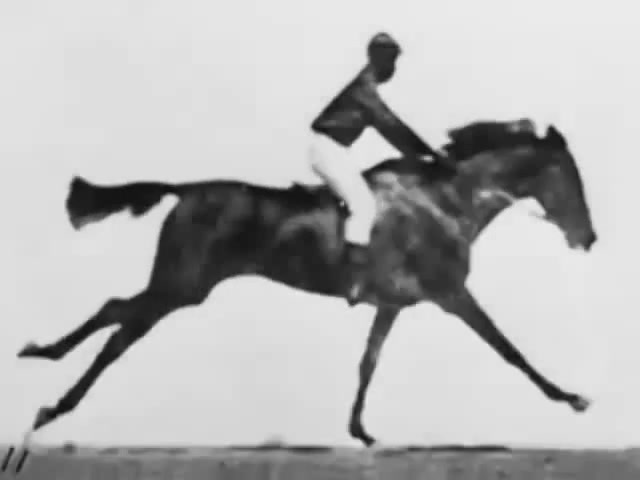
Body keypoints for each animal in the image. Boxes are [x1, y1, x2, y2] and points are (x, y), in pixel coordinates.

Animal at [14, 121, 597, 450]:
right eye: (569, 177)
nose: (588, 237)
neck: (446, 202)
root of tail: (186, 190)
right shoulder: (451, 294)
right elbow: (509, 349)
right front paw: (570, 397)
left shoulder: (393, 304)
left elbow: (368, 362)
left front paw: (360, 430)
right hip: (182, 286)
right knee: (121, 323)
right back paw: (53, 397)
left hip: (180, 286)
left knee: (117, 313)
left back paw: (42, 360)